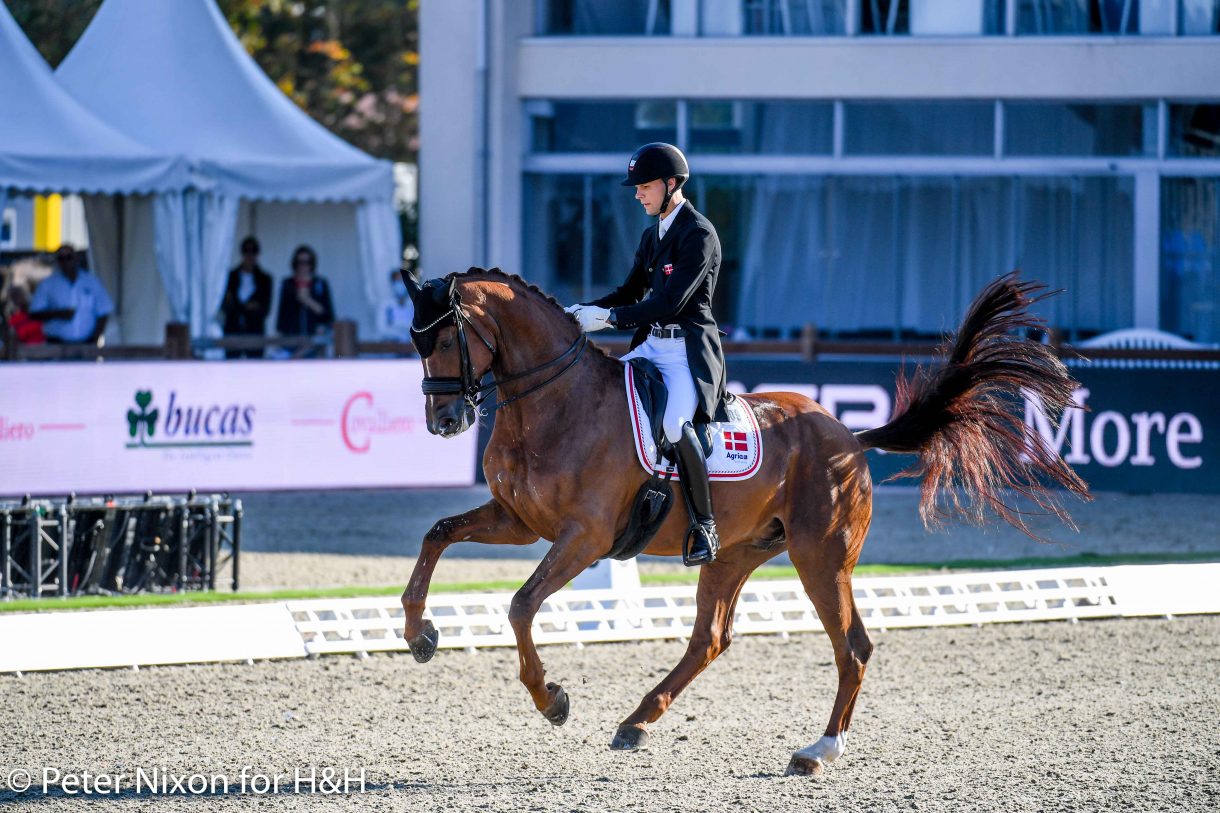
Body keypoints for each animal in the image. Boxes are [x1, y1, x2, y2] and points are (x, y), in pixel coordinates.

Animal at [398, 267, 1088, 776]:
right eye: (415, 341)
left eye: (446, 339)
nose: (445, 422)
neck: (555, 403)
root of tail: (849, 435)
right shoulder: (519, 520)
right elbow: (436, 534)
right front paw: (420, 635)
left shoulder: (584, 538)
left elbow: (520, 605)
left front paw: (553, 700)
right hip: (735, 553)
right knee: (711, 638)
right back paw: (637, 722)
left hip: (821, 556)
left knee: (852, 646)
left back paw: (817, 751)